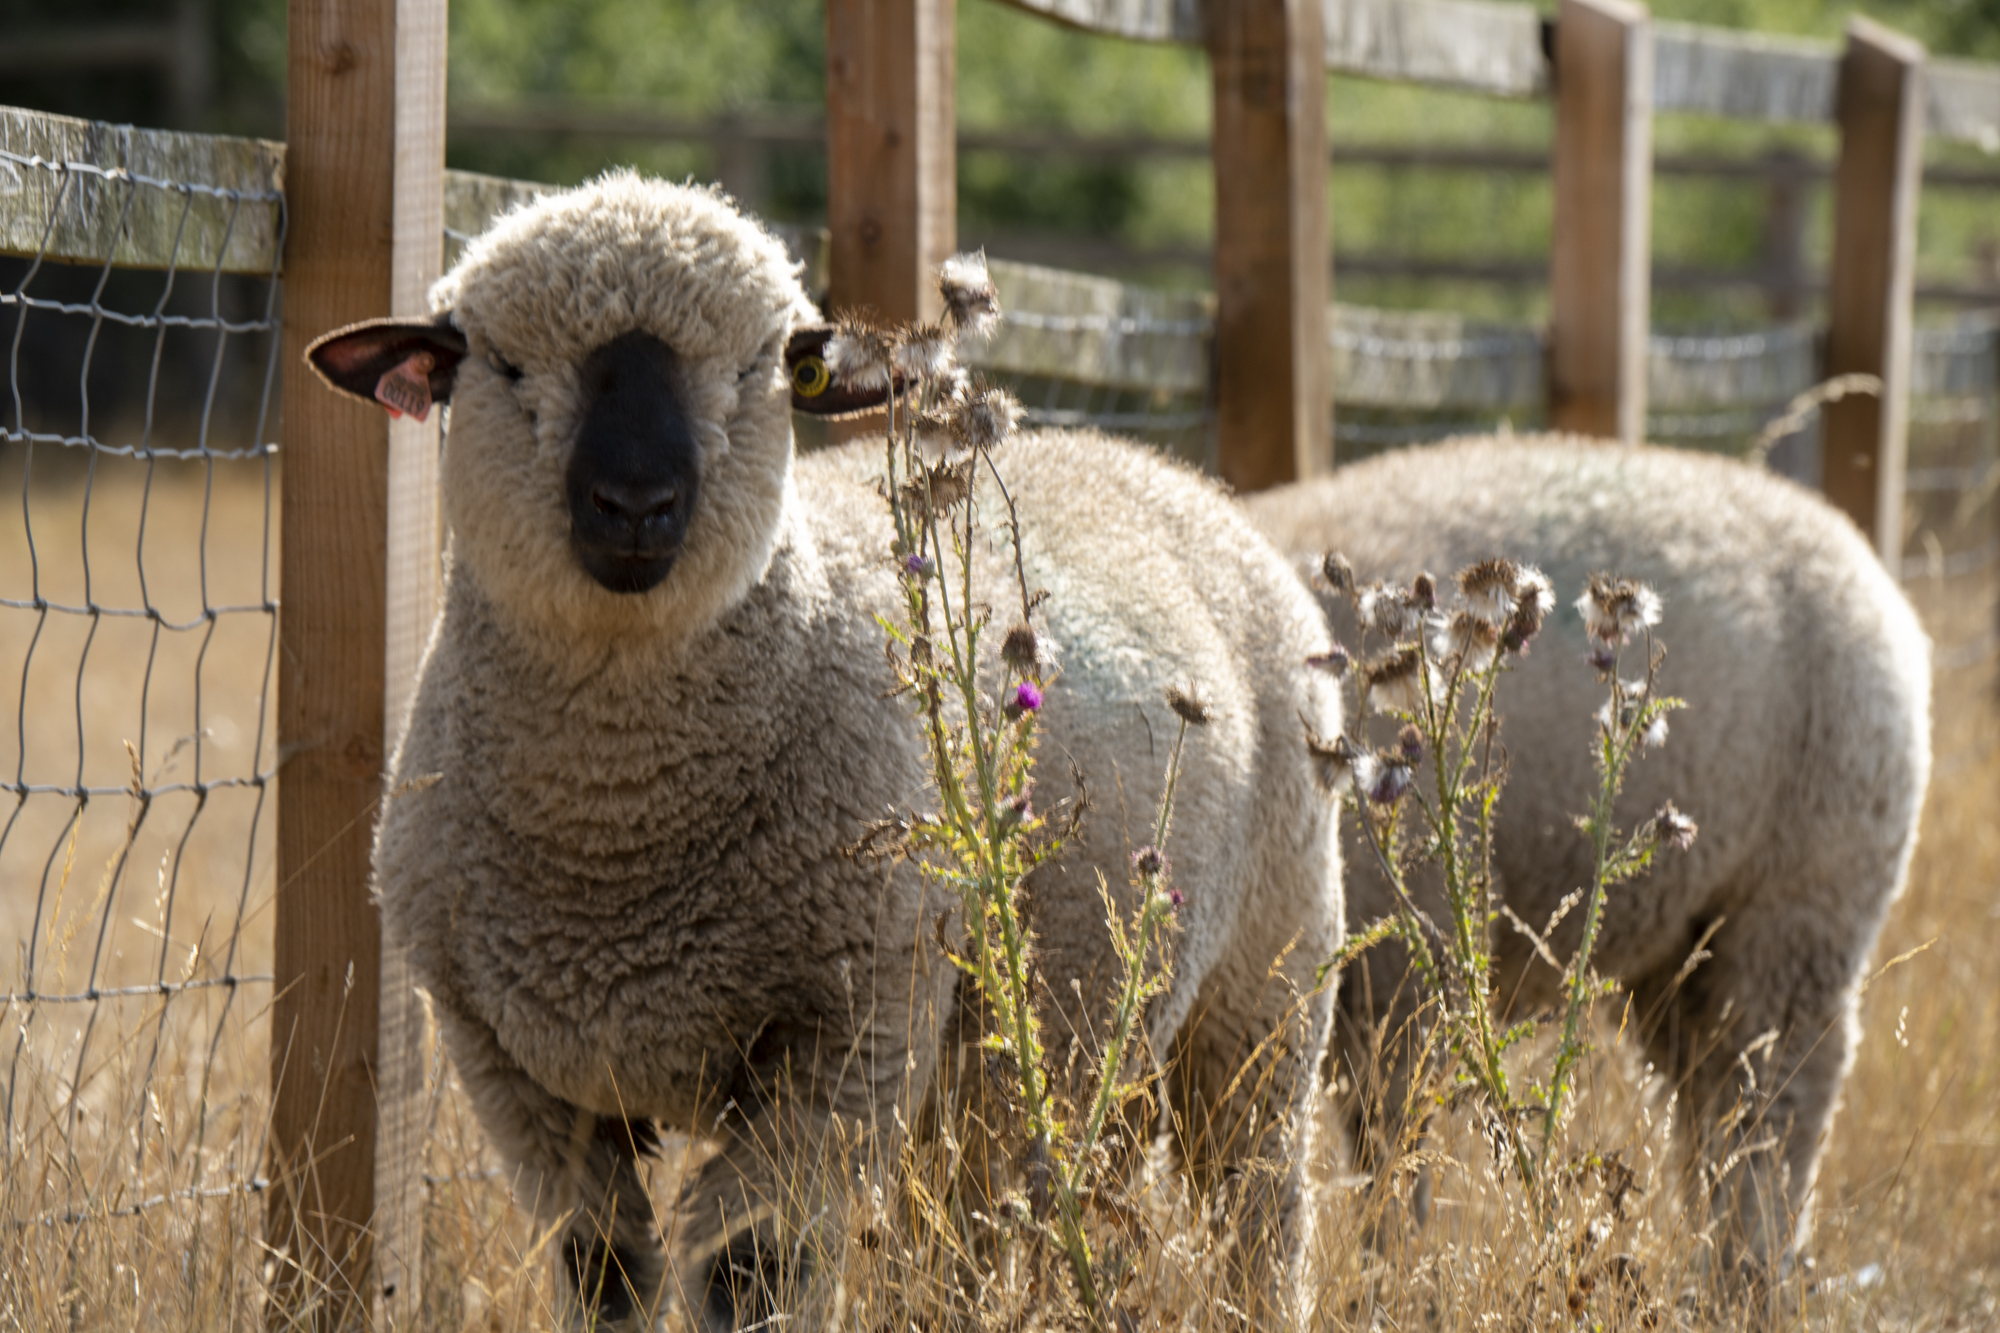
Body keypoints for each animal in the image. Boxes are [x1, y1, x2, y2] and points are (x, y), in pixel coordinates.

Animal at [303, 172, 1342, 1331]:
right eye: (505, 365)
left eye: (760, 365)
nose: (636, 505)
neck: (613, 834)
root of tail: (1161, 471)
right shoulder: (509, 1065)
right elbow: (604, 1272)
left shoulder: (846, 1033)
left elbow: (751, 1270)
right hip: (1053, 1037)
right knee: (1035, 1194)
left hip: (1265, 991)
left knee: (1255, 1201)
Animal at [1243, 433, 1931, 1275]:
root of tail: (1865, 561)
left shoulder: (1396, 973)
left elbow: (1392, 1145)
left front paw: (1391, 1271)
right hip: (1683, 940)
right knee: (1708, 1096)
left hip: (1803, 892)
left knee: (1772, 1100)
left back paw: (1747, 1264)